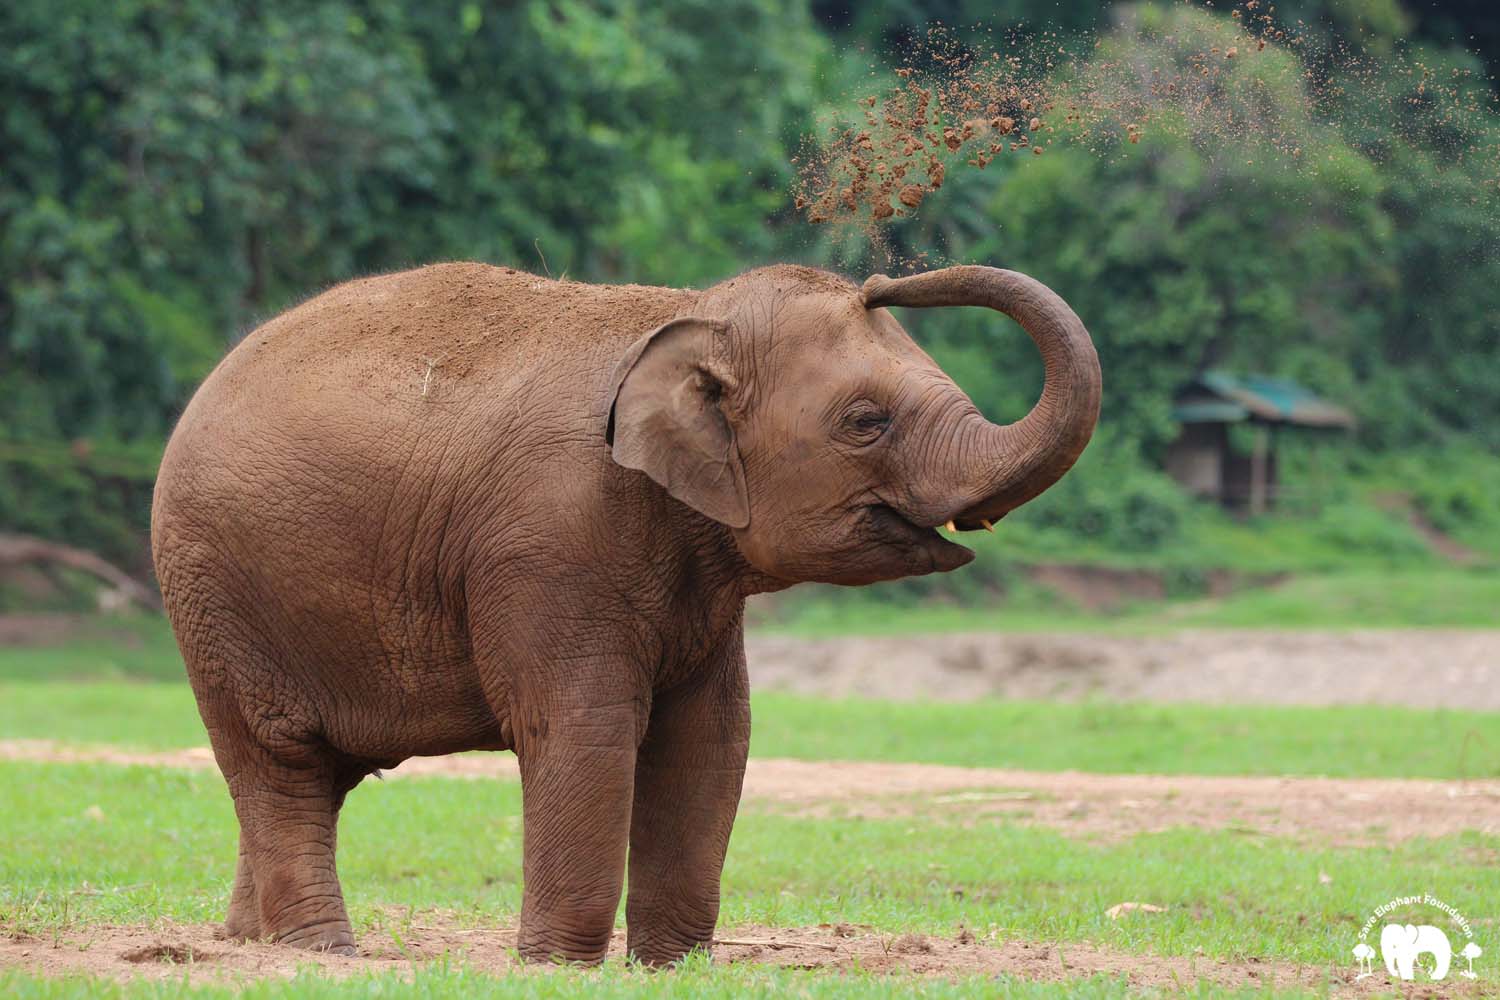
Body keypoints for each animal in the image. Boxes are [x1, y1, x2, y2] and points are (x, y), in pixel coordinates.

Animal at [151, 261, 1100, 964]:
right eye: (866, 421)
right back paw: (320, 950)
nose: (886, 276)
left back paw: (242, 940)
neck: (682, 316)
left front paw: (674, 964)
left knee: (315, 778)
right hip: (213, 595)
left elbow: (713, 735)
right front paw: (558, 966)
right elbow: (586, 725)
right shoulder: (547, 541)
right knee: (277, 761)